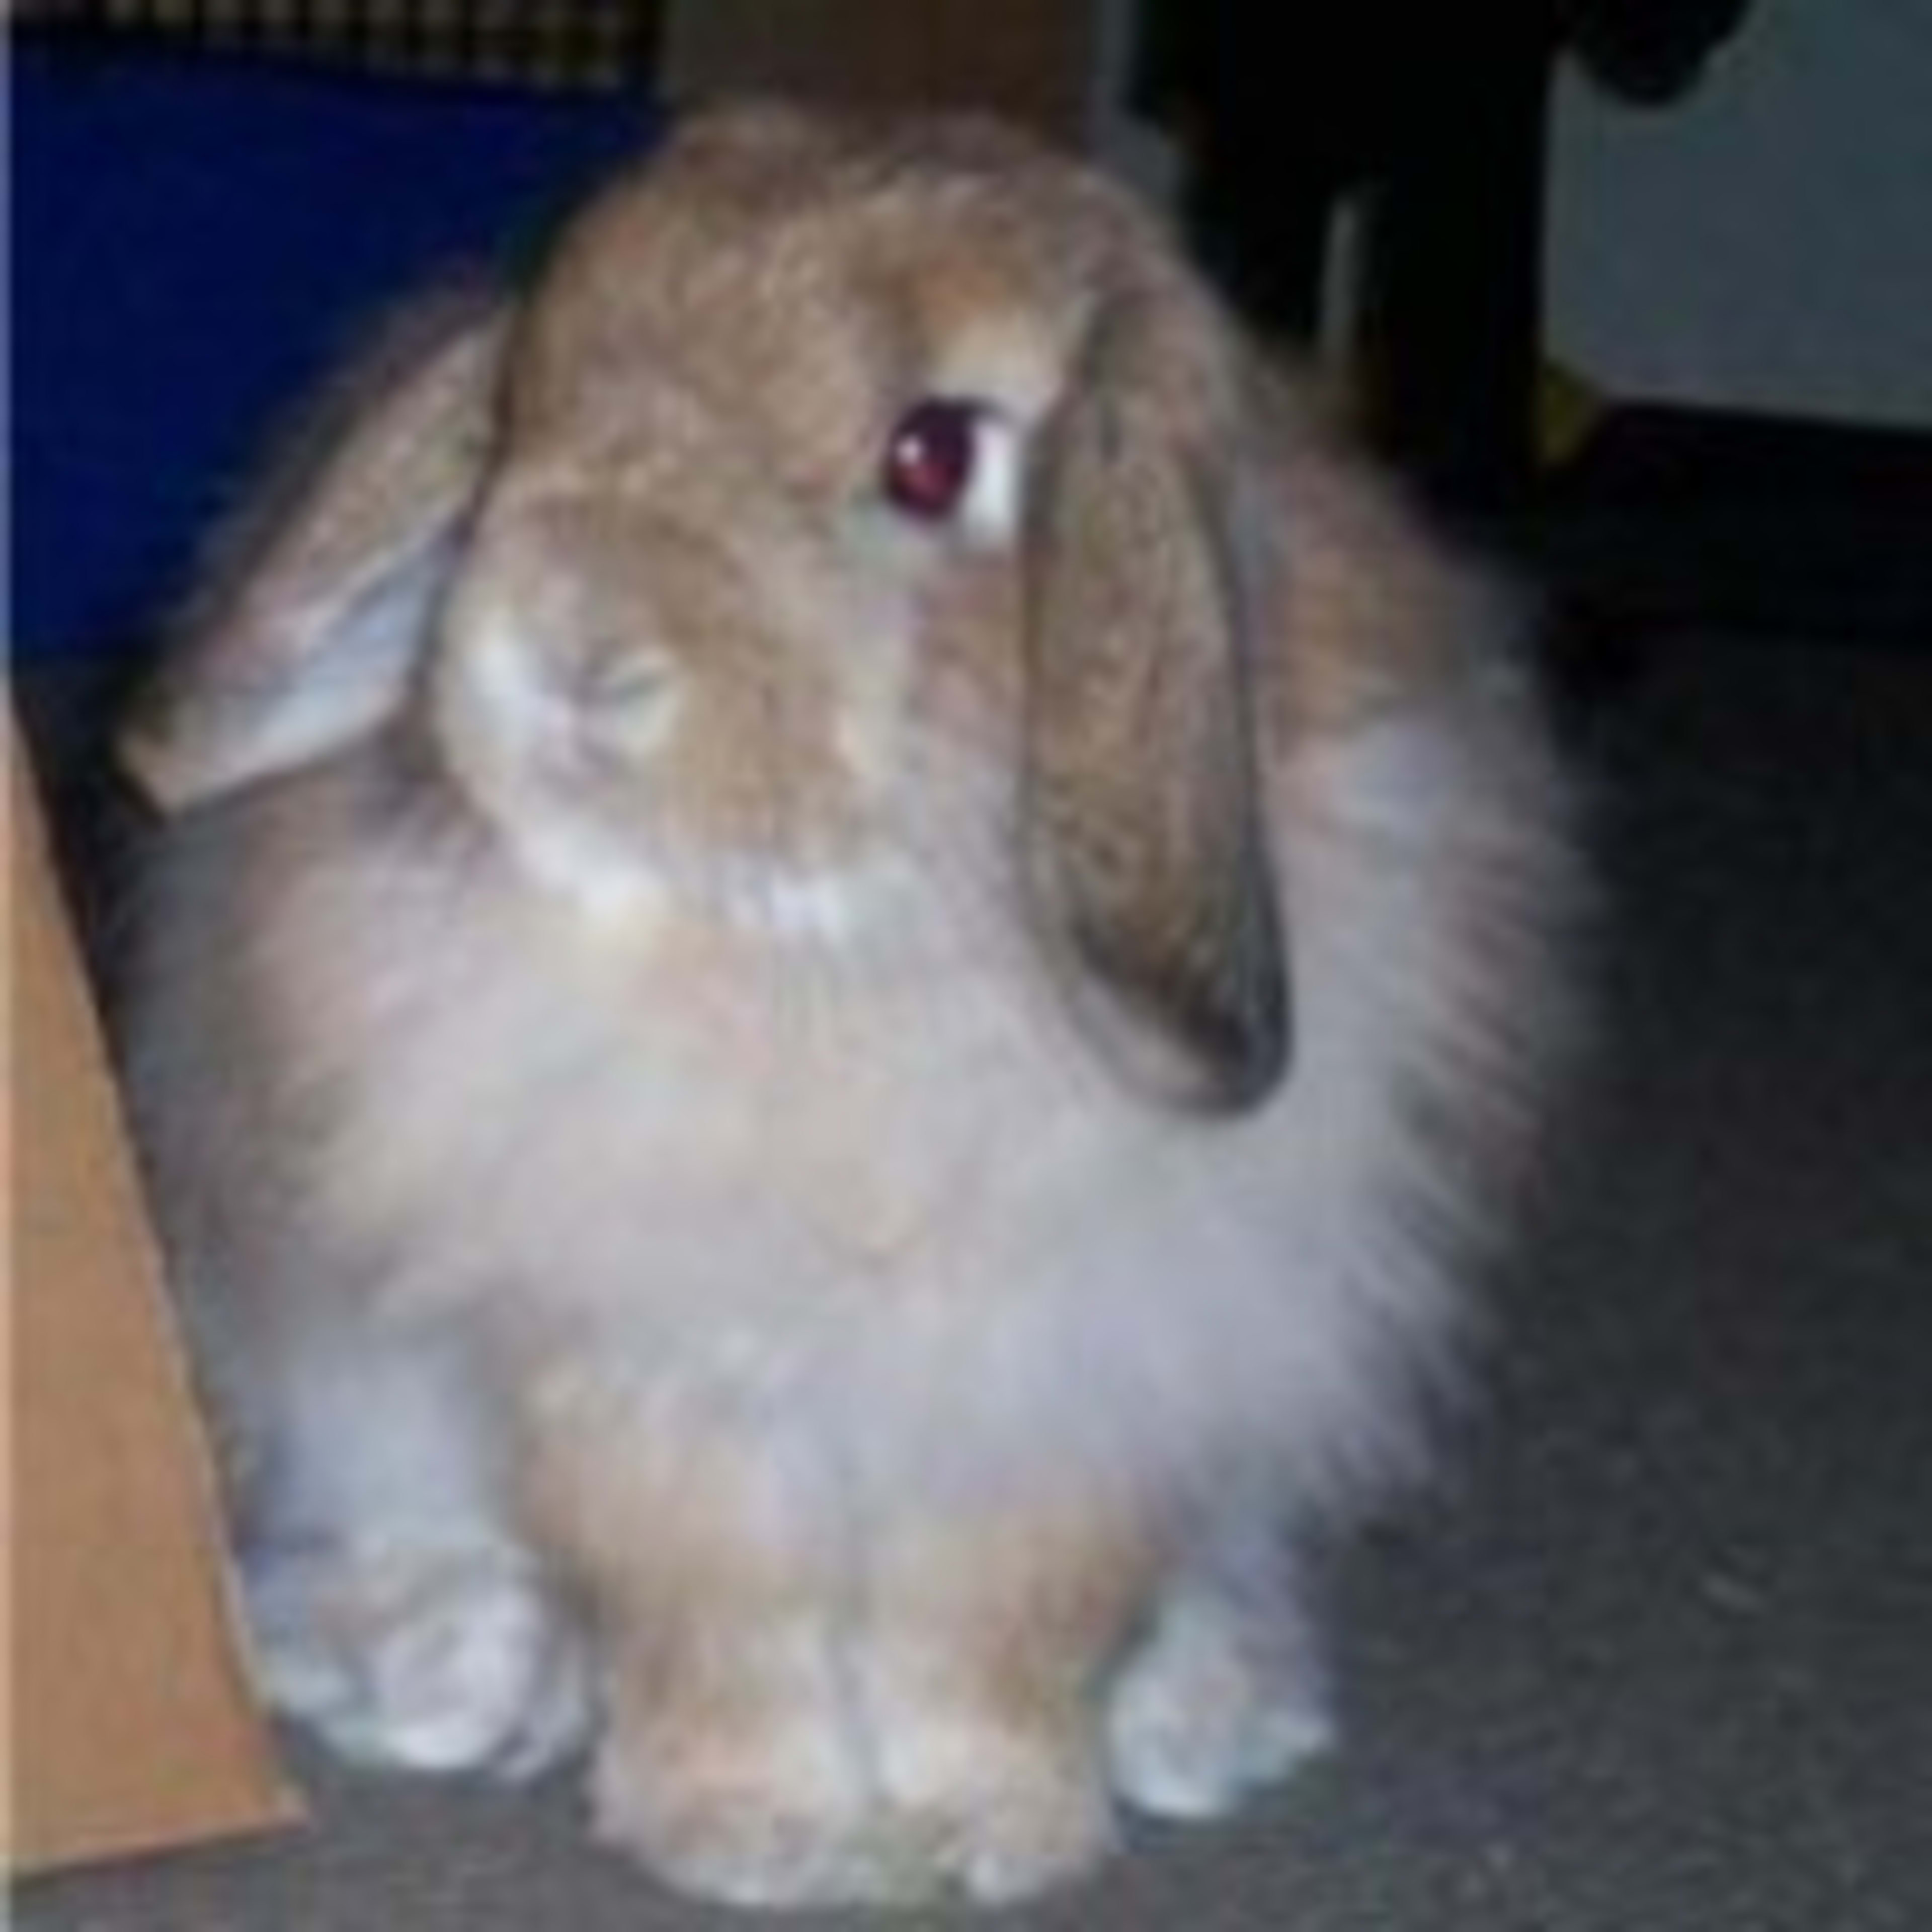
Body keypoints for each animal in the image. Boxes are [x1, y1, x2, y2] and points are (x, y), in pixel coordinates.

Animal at [115, 102, 1582, 1909]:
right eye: (529, 391)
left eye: (933, 458)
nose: (562, 645)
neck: (834, 971)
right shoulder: (657, 1392)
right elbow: (724, 1631)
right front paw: (752, 1836)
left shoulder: (1068, 1392)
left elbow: (1000, 1633)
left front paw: (995, 1834)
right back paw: (476, 1677)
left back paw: (1199, 1718)